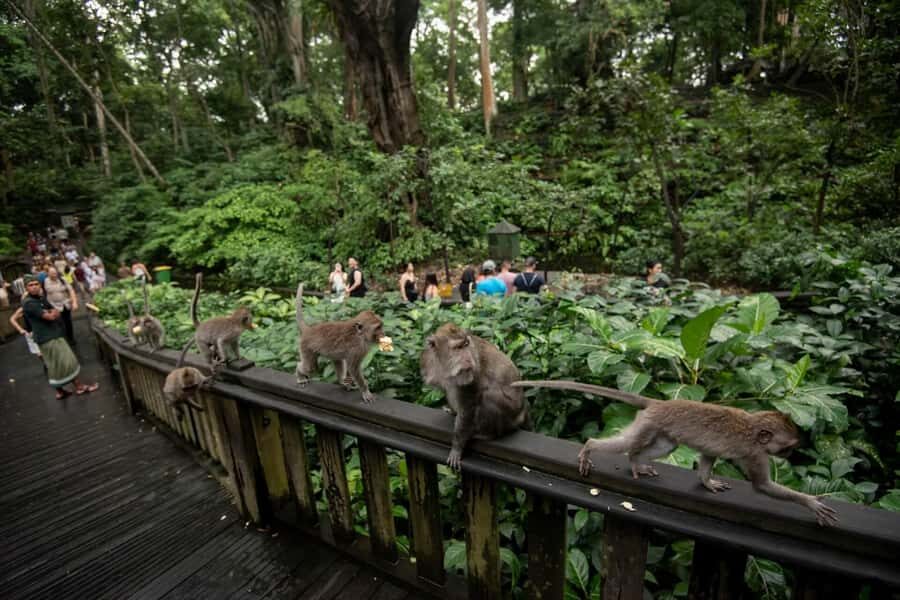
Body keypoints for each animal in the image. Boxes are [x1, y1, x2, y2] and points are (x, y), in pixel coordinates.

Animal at [420, 323, 531, 470]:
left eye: (466, 345)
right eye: (458, 348)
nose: (468, 358)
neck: (444, 367)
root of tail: (523, 410)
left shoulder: (474, 375)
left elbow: (468, 409)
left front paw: (457, 448)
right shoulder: (427, 361)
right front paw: (452, 410)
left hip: (511, 415)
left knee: (488, 397)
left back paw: (487, 434)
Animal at [511, 380, 838, 526]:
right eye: (788, 447)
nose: (790, 456)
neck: (753, 427)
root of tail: (659, 403)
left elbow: (707, 459)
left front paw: (707, 482)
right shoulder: (754, 453)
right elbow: (762, 486)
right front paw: (811, 503)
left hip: (658, 428)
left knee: (665, 447)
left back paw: (637, 463)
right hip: (648, 423)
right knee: (626, 444)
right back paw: (591, 448)